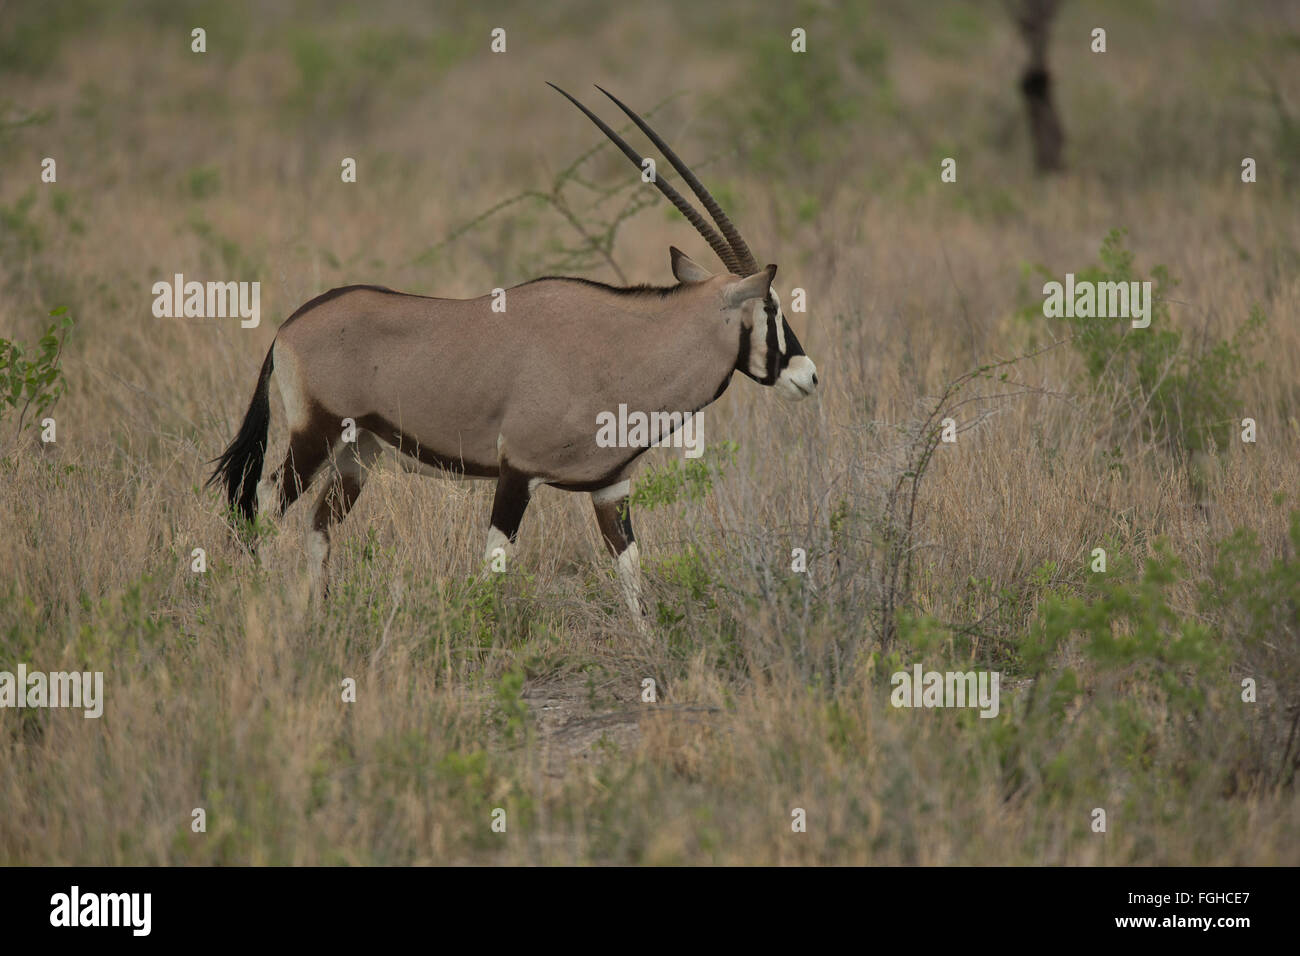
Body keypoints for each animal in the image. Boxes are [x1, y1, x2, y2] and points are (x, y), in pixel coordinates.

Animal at [207, 84, 819, 624]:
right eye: (770, 306)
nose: (809, 376)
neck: (621, 345)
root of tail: (287, 328)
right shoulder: (516, 473)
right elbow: (494, 564)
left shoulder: (610, 486)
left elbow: (630, 570)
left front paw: (649, 644)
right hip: (315, 436)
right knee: (265, 505)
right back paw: (264, 603)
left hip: (358, 456)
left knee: (317, 528)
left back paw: (320, 615)